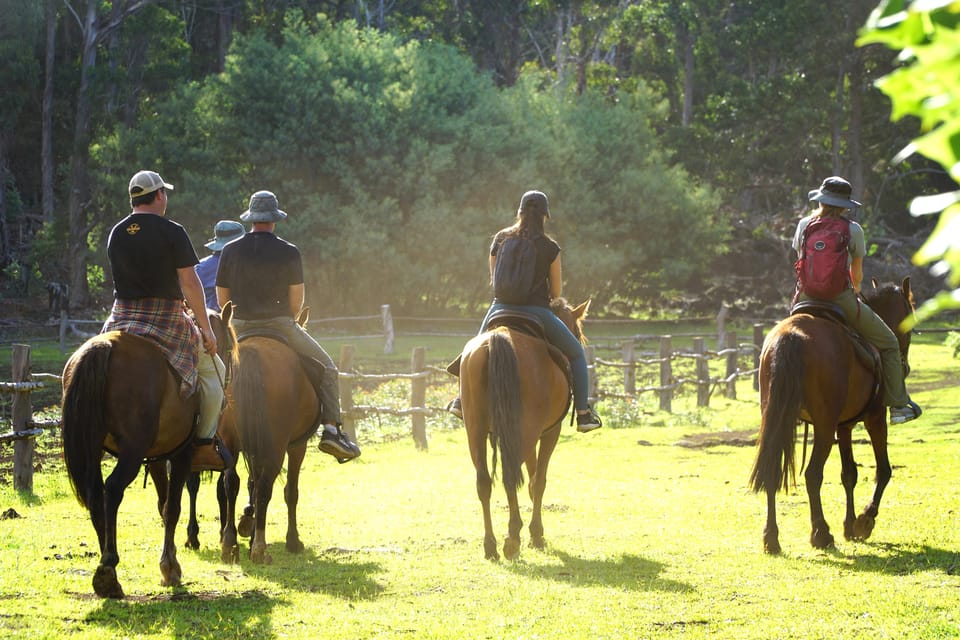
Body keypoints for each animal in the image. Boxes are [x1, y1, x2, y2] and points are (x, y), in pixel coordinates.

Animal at [61, 309, 235, 598]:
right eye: (231, 347)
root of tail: (104, 347)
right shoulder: (181, 455)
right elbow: (172, 507)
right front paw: (169, 567)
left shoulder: (157, 458)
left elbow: (163, 505)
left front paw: (171, 559)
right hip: (132, 451)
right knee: (113, 489)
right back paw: (108, 566)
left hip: (93, 447)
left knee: (96, 494)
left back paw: (105, 564)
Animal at [221, 304, 323, 564]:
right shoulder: (296, 446)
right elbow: (290, 492)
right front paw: (293, 541)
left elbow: (251, 483)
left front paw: (247, 522)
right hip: (277, 447)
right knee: (266, 487)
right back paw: (259, 547)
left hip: (229, 442)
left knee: (231, 483)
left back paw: (229, 542)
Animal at [460, 298, 590, 560]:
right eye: (578, 332)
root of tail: (498, 339)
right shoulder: (549, 432)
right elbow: (538, 481)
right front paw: (536, 535)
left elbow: (531, 481)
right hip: (524, 433)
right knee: (510, 477)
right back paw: (512, 538)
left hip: (476, 431)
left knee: (484, 482)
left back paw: (490, 545)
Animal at [749, 277, 916, 554]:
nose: (906, 366)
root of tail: (792, 335)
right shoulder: (875, 418)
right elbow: (883, 470)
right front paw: (864, 520)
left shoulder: (844, 426)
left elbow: (849, 474)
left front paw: (849, 525)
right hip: (824, 426)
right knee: (813, 474)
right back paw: (821, 533)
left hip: (776, 418)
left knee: (773, 469)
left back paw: (771, 537)